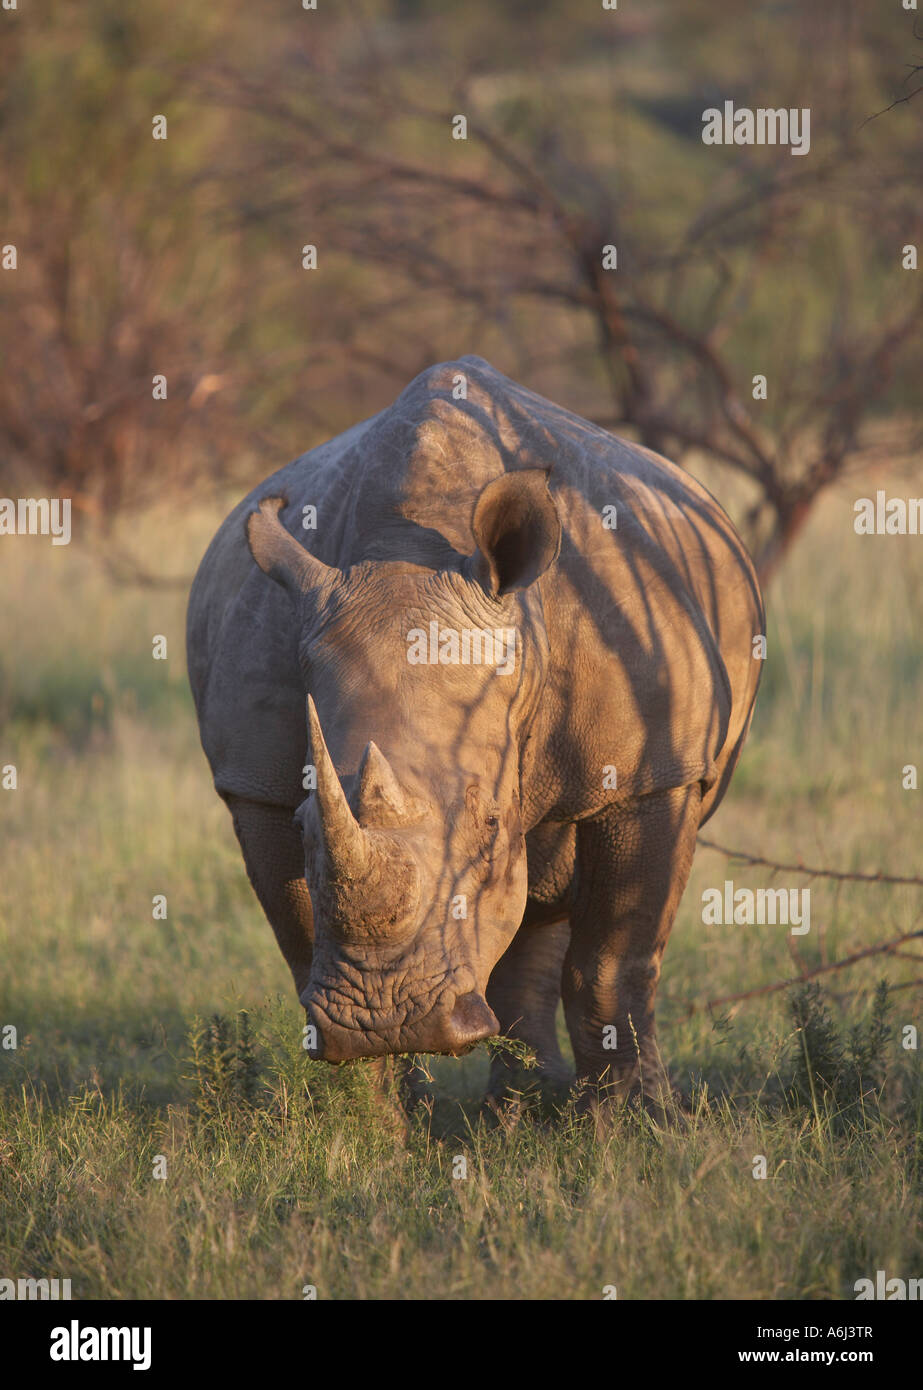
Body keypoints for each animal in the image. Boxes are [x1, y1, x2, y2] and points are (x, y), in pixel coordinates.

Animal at [187, 357, 763, 1106]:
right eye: (303, 824)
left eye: (490, 827)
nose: (385, 1019)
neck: (408, 541)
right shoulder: (256, 785)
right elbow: (303, 940)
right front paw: (375, 1119)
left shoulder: (653, 772)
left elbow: (616, 962)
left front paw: (638, 1123)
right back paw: (518, 1110)